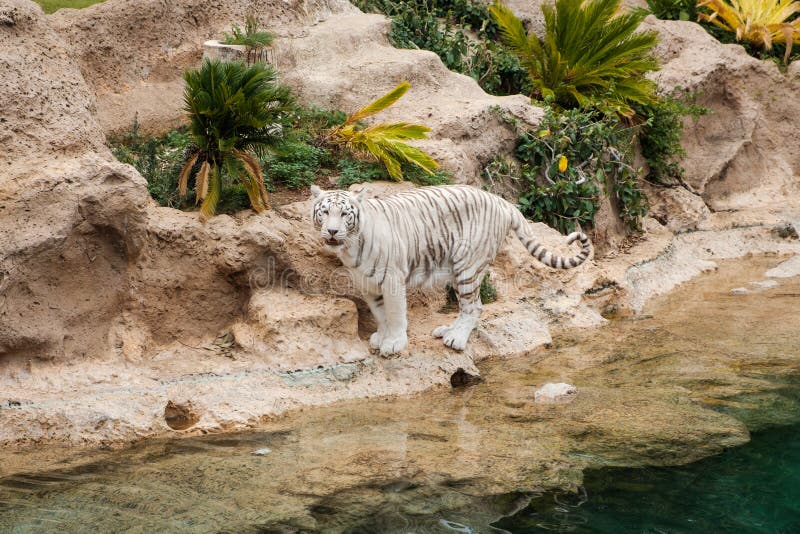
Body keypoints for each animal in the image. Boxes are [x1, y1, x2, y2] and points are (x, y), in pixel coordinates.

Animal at [310, 184, 592, 356]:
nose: (332, 231)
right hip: (460, 270)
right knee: (469, 306)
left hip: (468, 264)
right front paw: (382, 336)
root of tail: (503, 201)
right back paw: (448, 331)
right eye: (325, 212)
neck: (351, 246)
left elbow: (396, 314)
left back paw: (456, 340)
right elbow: (381, 314)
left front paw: (395, 343)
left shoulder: (393, 279)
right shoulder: (367, 284)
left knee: (474, 306)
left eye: (345, 214)